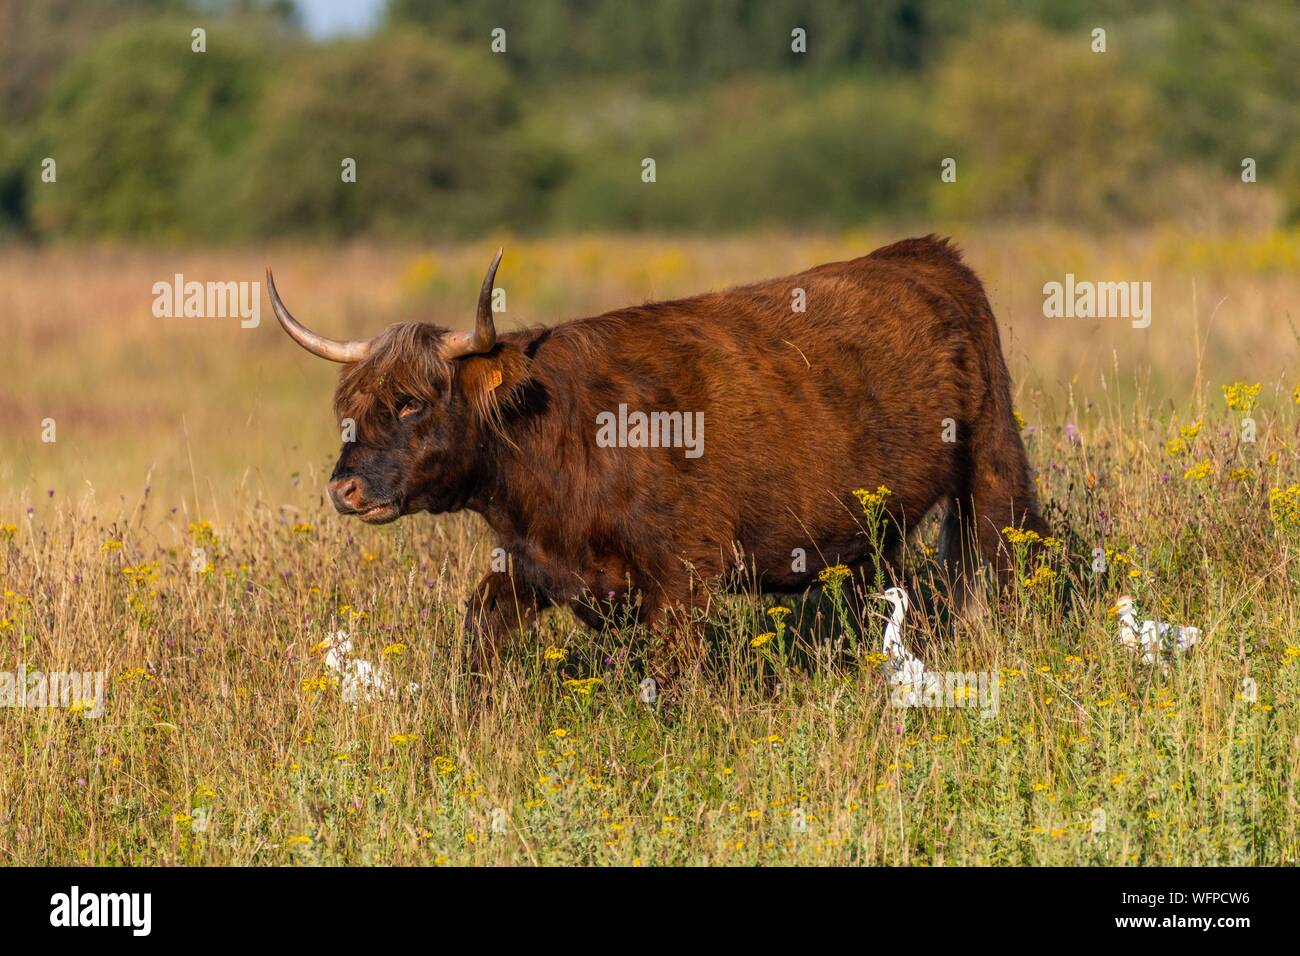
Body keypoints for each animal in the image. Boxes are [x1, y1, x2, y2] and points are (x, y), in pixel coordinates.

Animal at [267, 236, 1049, 686]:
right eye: (350, 404)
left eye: (409, 403)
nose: (343, 489)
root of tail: (923, 253)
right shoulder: (533, 561)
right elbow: (480, 633)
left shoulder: (681, 579)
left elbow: (677, 683)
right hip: (874, 530)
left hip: (992, 466)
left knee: (1009, 560)